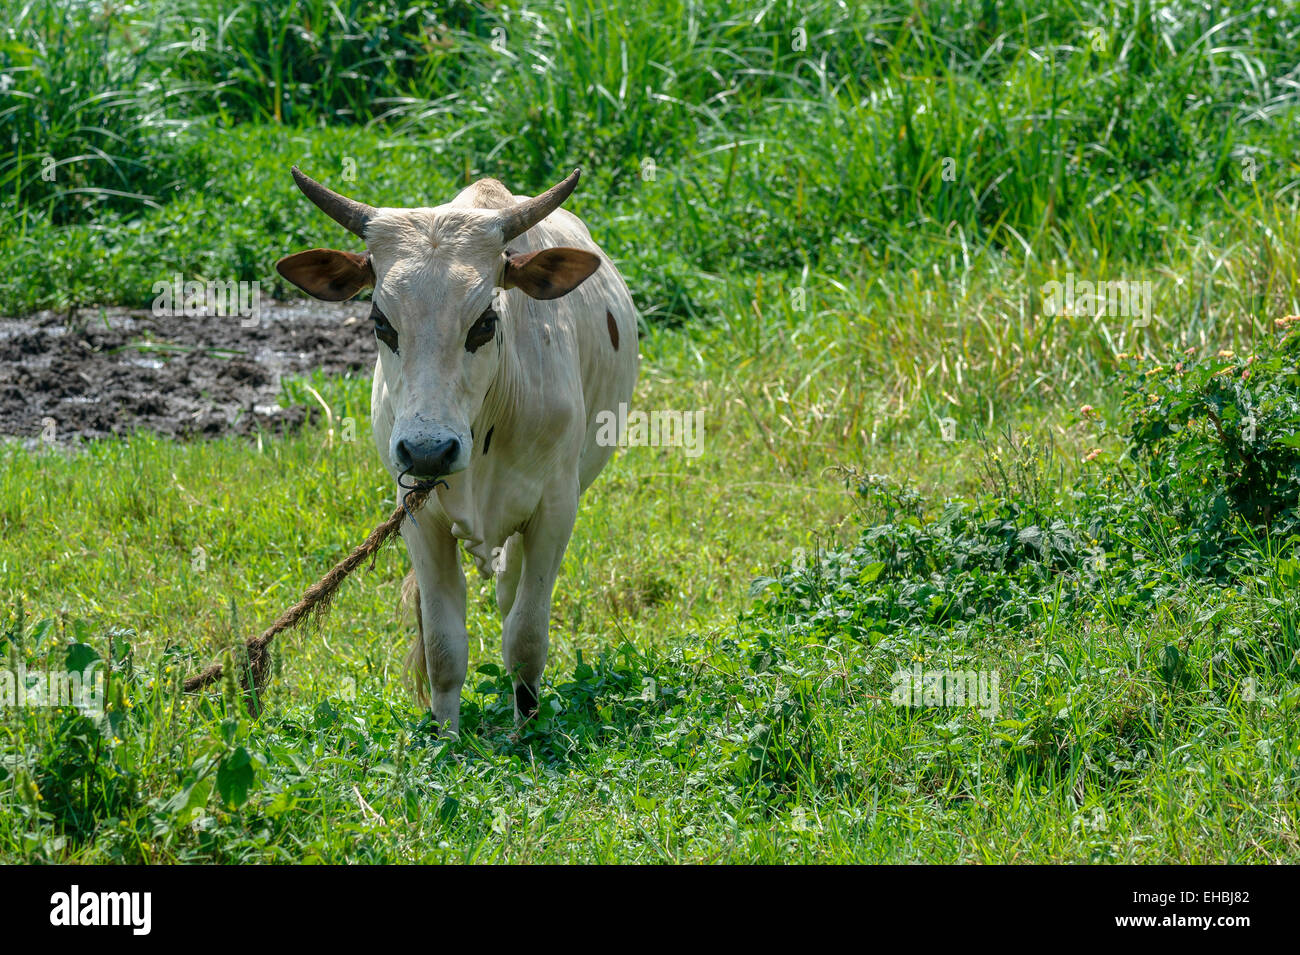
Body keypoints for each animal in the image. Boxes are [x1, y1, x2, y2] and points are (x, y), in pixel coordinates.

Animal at [275, 167, 639, 735]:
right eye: (380, 322)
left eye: (485, 322)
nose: (428, 451)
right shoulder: (418, 518)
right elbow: (444, 646)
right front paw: (446, 736)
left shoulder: (556, 510)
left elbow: (526, 636)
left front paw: (526, 729)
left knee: (511, 594)